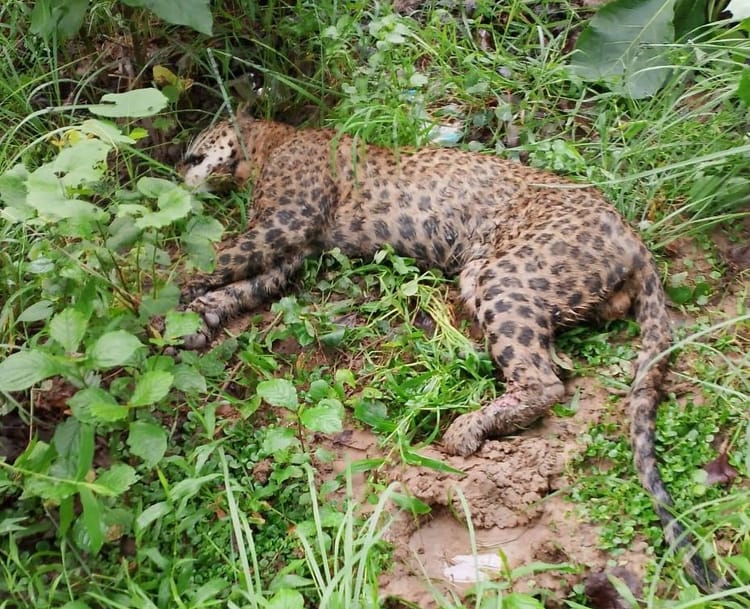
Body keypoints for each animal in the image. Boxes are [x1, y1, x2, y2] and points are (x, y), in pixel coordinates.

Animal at [177, 110, 725, 592]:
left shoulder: (286, 220)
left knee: (544, 380)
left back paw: (467, 428)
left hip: (501, 273)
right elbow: (244, 282)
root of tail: (631, 233)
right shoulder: (294, 250)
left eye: (195, 149)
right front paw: (200, 314)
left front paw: (166, 298)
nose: (180, 174)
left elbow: (216, 256)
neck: (266, 144)